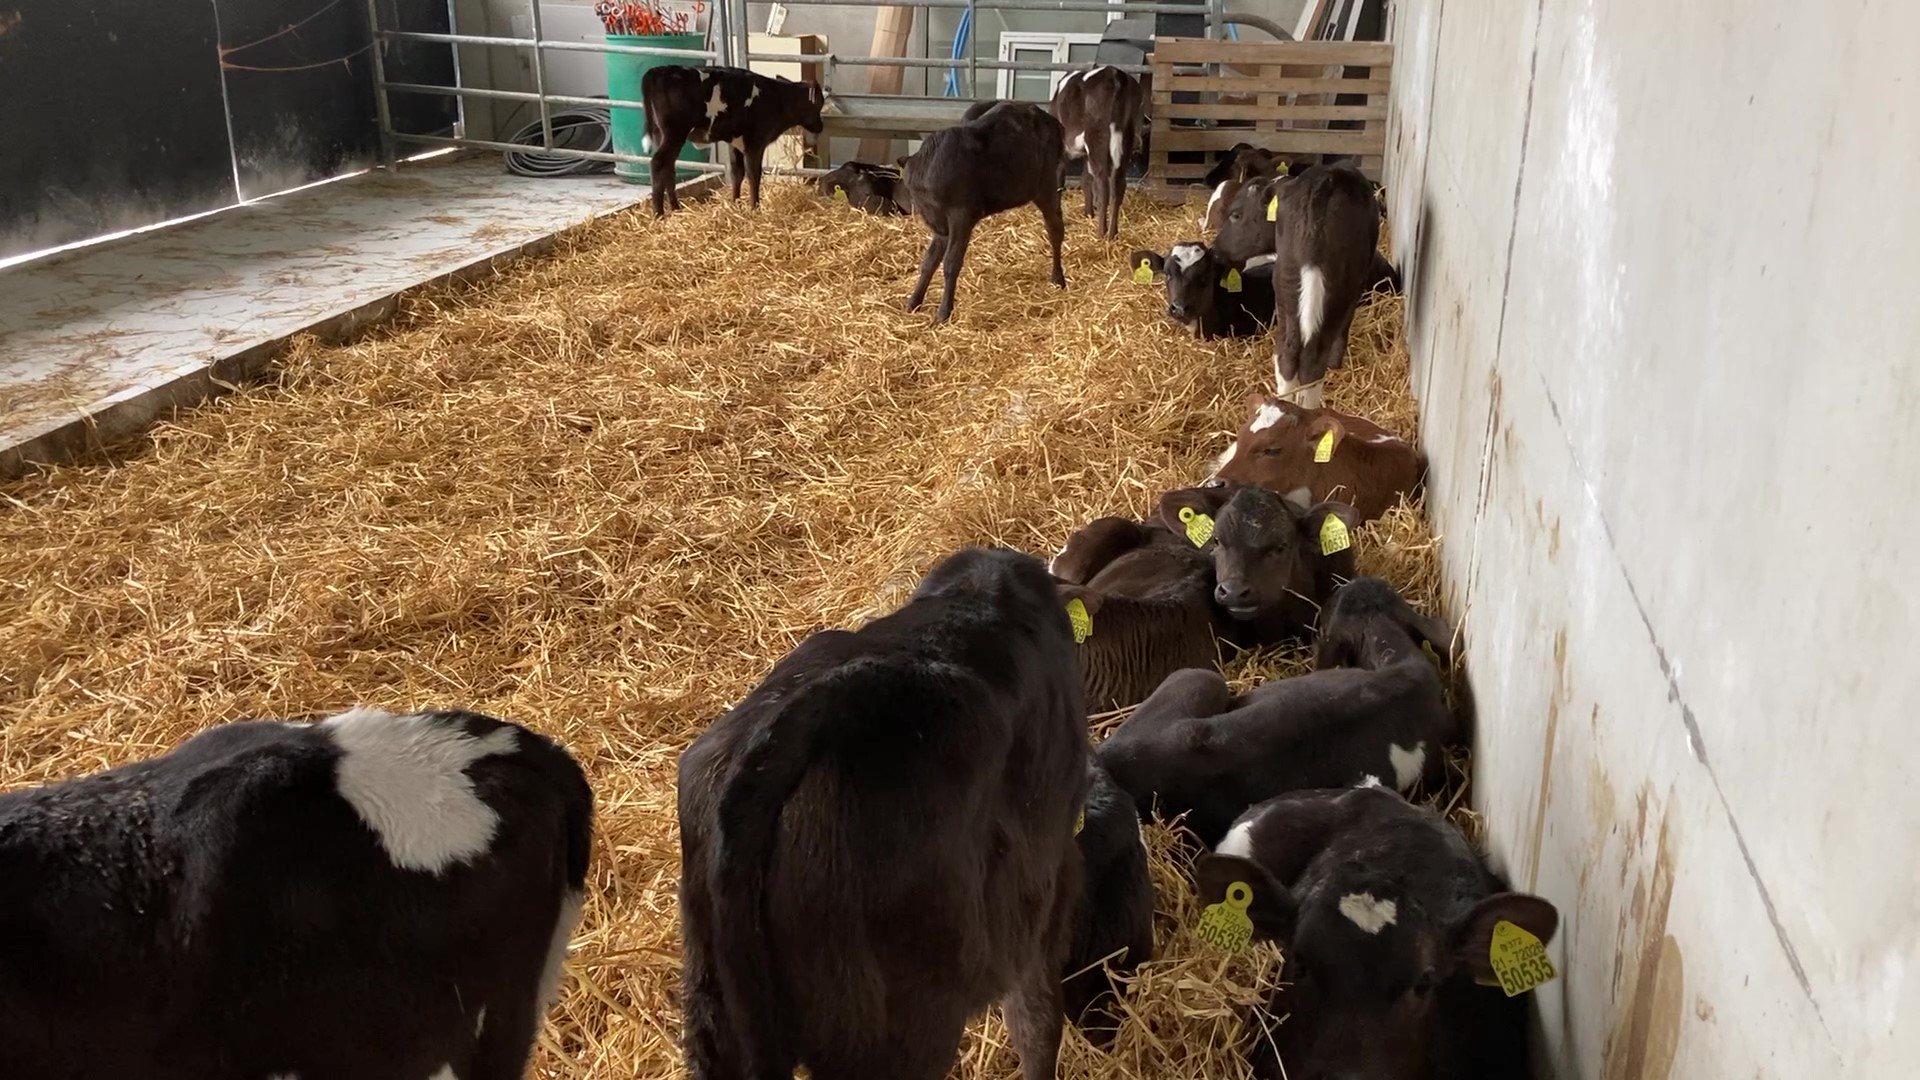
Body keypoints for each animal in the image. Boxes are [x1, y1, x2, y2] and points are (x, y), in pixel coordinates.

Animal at [640, 65, 825, 218]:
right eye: (819, 105)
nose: (821, 126)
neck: (777, 98)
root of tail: (658, 71)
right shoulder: (755, 142)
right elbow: (753, 175)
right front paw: (754, 207)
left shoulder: (735, 142)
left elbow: (737, 173)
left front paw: (735, 203)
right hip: (675, 133)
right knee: (658, 163)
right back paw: (658, 214)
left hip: (662, 134)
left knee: (669, 167)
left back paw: (676, 208)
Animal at [902, 101, 1068, 323]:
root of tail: (1051, 120)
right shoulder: (941, 225)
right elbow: (930, 261)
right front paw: (914, 302)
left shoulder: (961, 216)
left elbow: (951, 262)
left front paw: (944, 312)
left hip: (1046, 187)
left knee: (1055, 229)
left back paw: (1058, 278)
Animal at [1051, 65, 1146, 240]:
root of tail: (1113, 73)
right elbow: (1086, 179)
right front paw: (1088, 214)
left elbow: (1060, 181)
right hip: (1127, 138)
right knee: (1118, 185)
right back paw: (1112, 233)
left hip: (1097, 138)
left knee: (1103, 185)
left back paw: (1101, 233)